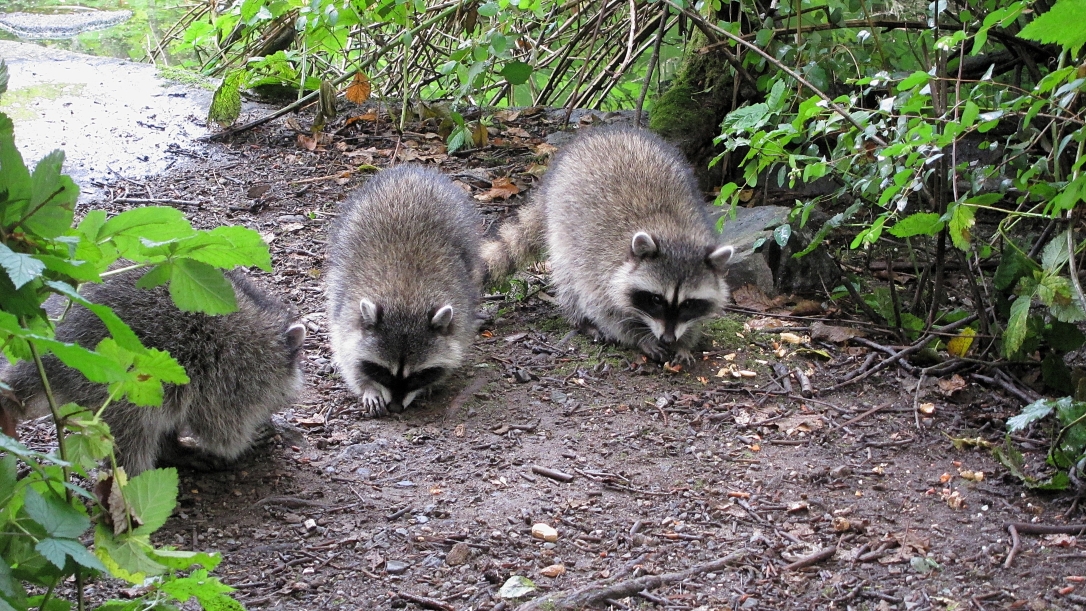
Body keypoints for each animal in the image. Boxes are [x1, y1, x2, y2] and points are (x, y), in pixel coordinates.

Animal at [325, 165, 483, 417]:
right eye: (382, 371)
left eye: (418, 375)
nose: (396, 408)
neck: (405, 298)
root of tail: (413, 170)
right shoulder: (347, 308)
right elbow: (347, 351)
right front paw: (367, 386)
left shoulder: (461, 313)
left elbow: (454, 348)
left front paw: (431, 384)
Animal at [482, 127, 734, 364]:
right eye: (656, 299)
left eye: (689, 303)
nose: (668, 339)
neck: (673, 232)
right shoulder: (600, 265)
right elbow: (605, 310)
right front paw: (639, 338)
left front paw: (685, 342)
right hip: (561, 222)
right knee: (567, 276)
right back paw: (581, 320)